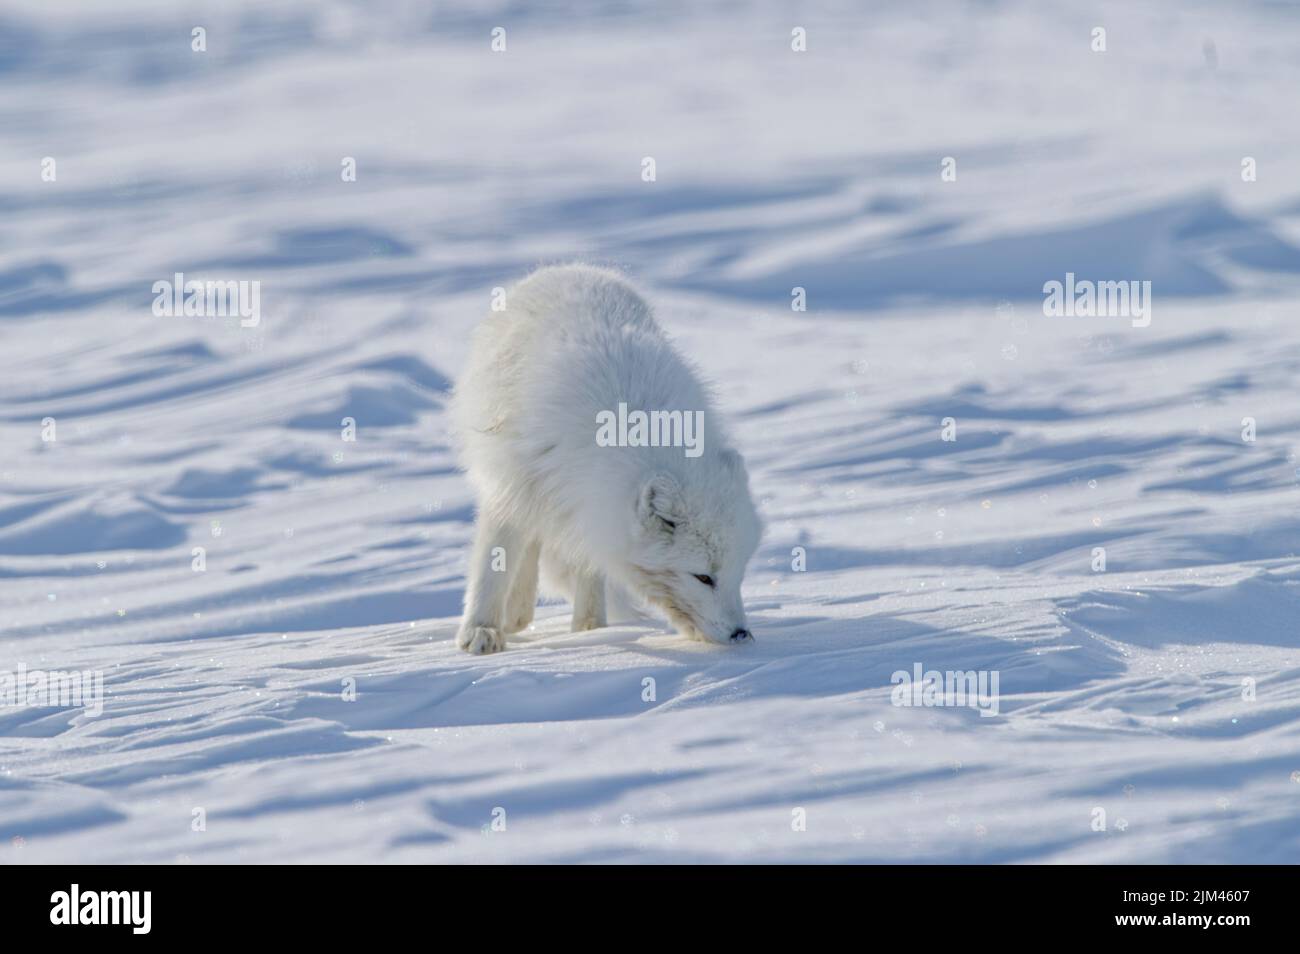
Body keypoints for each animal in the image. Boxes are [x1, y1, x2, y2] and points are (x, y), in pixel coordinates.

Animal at [450, 264, 762, 654]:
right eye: (703, 577)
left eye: (739, 570)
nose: (741, 634)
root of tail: (568, 267)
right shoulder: (514, 480)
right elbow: (494, 562)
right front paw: (480, 630)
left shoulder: (591, 506)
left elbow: (590, 563)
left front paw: (591, 630)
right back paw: (515, 614)